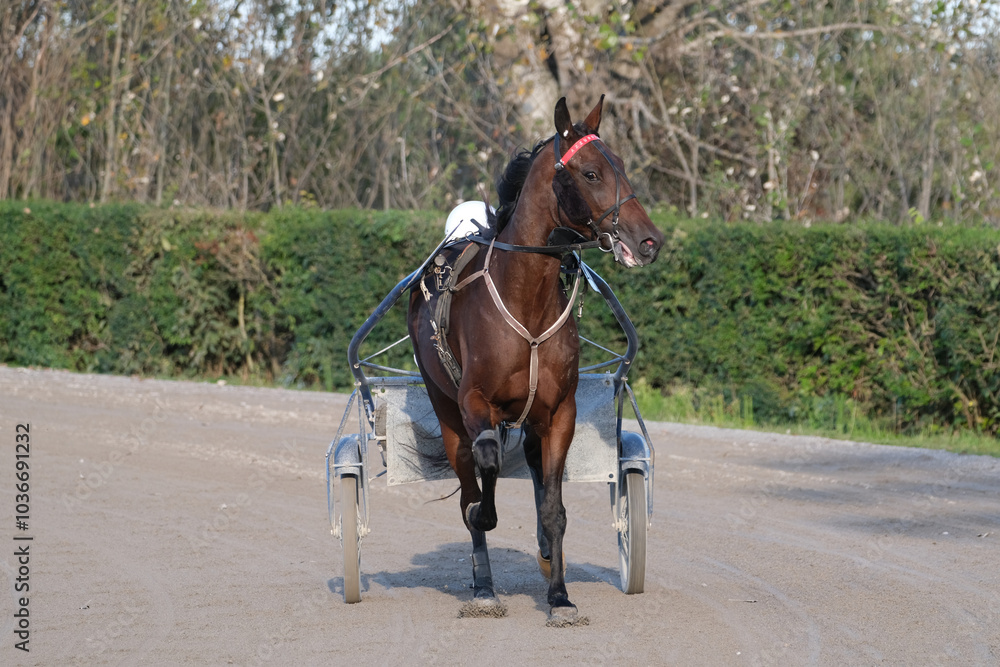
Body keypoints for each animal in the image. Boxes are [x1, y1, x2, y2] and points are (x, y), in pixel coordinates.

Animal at [407, 96, 663, 625]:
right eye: (590, 172)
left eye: (621, 165)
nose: (649, 240)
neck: (524, 298)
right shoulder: (474, 401)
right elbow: (485, 468)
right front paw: (484, 520)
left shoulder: (559, 412)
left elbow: (553, 507)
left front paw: (559, 594)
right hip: (445, 407)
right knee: (470, 477)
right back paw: (483, 585)